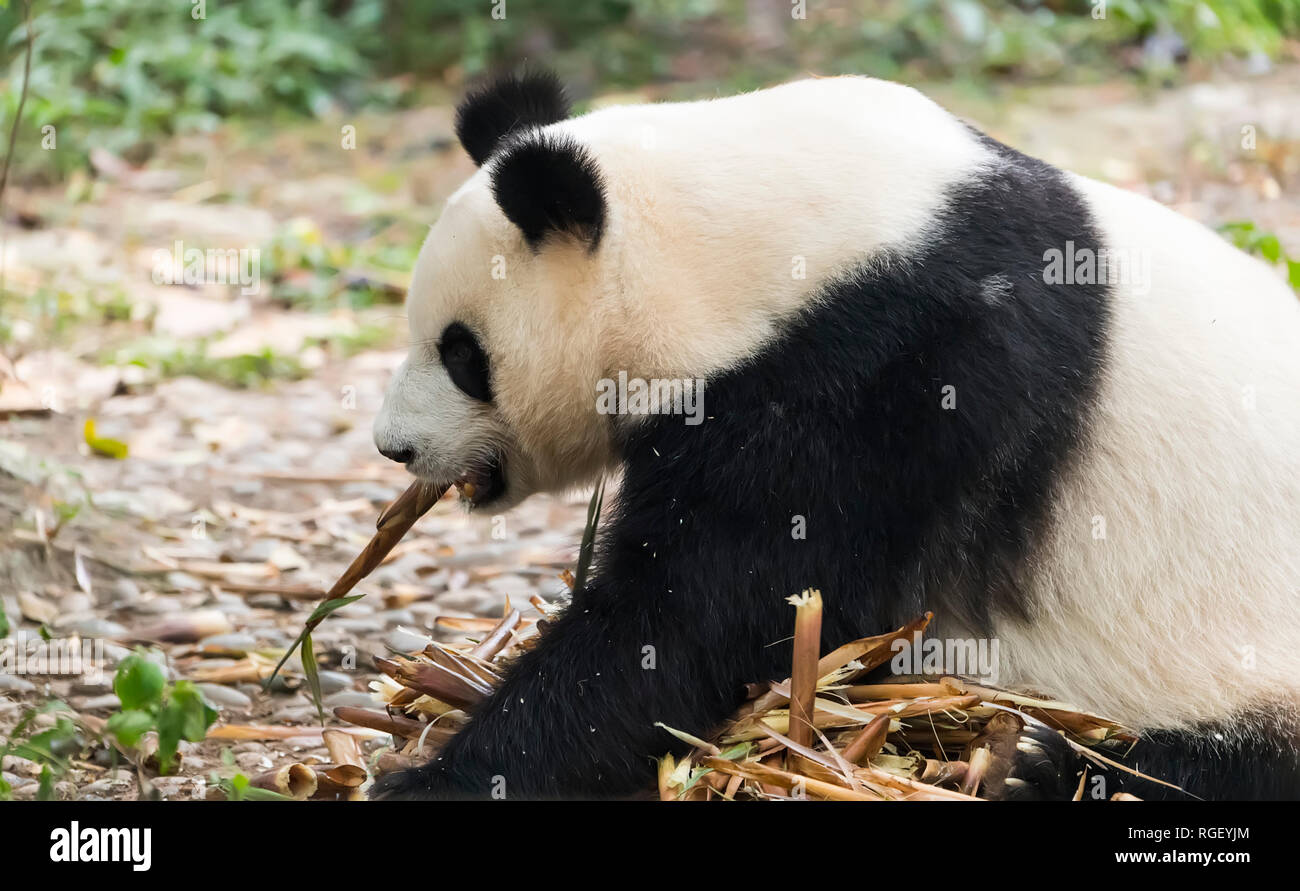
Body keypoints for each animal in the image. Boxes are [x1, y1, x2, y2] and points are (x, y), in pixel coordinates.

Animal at [371, 70, 1300, 800]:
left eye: (461, 352)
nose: (394, 446)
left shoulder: (887, 365)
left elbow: (709, 612)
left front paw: (442, 778)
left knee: (1232, 761)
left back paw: (1050, 768)